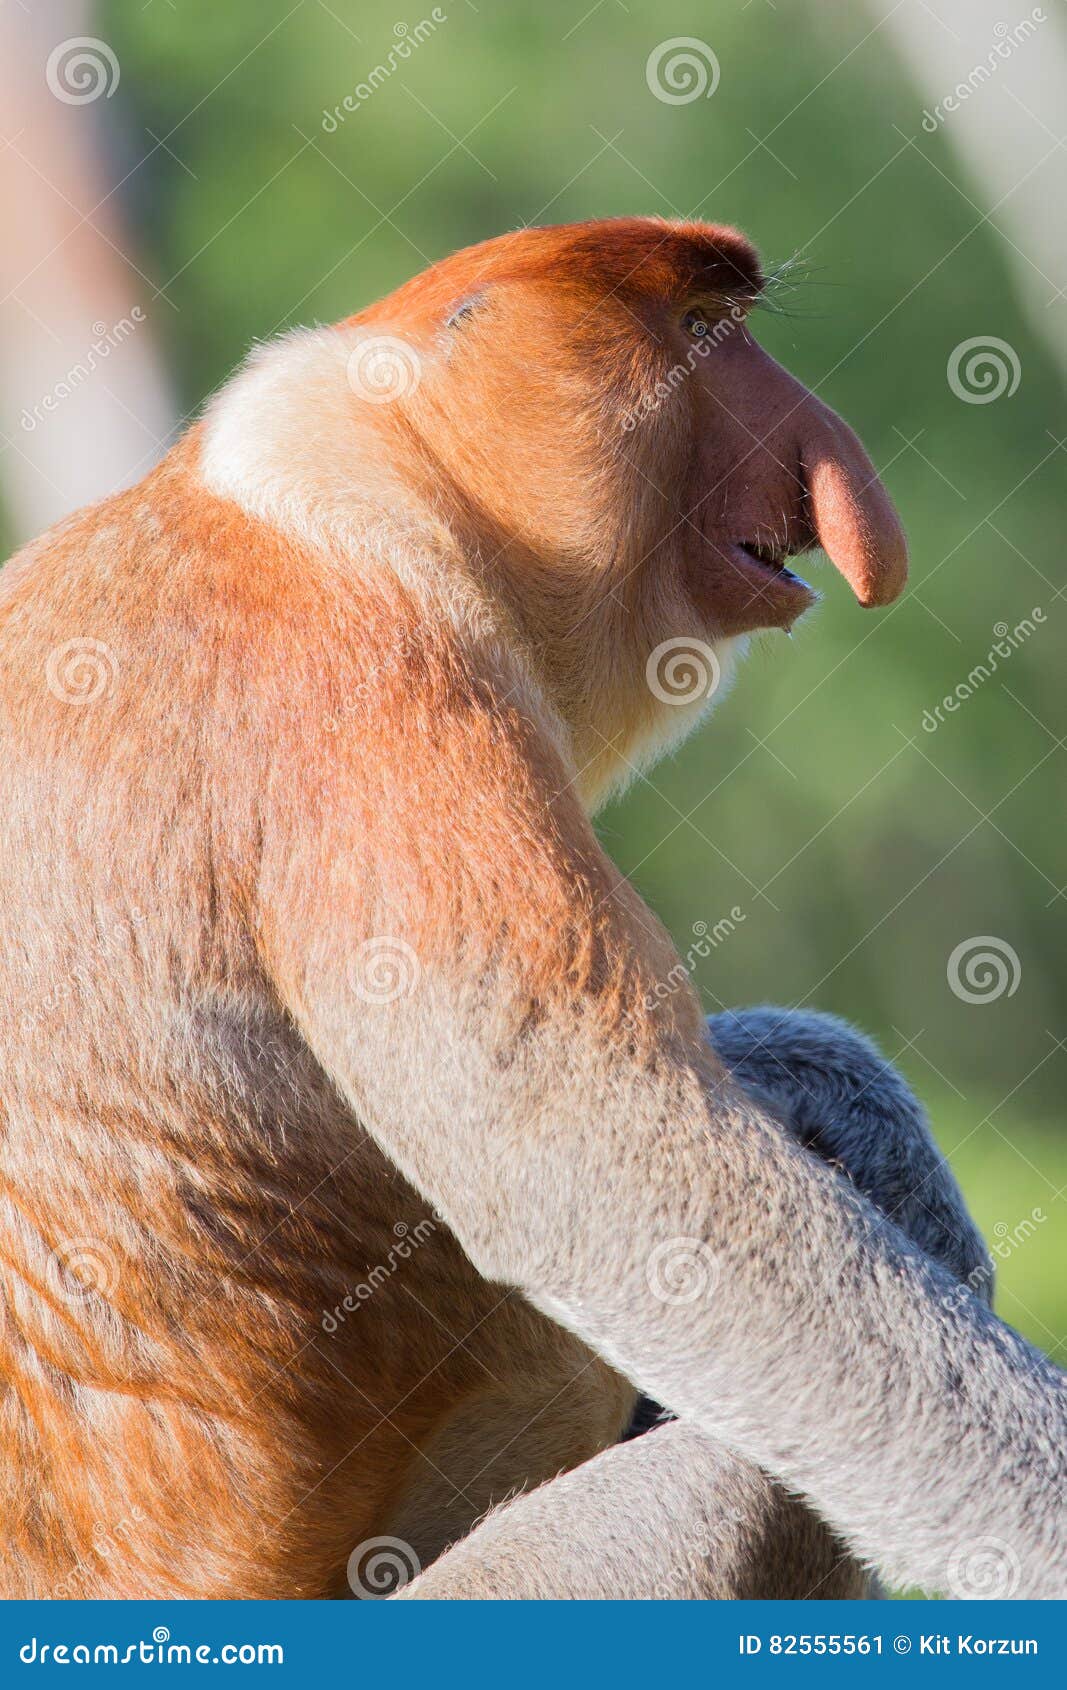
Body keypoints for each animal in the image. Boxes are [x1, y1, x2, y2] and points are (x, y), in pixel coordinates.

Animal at [0, 216, 1063, 1601]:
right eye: (701, 334)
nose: (831, 459)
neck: (335, 462)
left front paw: (851, 1109)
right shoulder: (371, 673)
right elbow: (587, 1155)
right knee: (748, 1474)